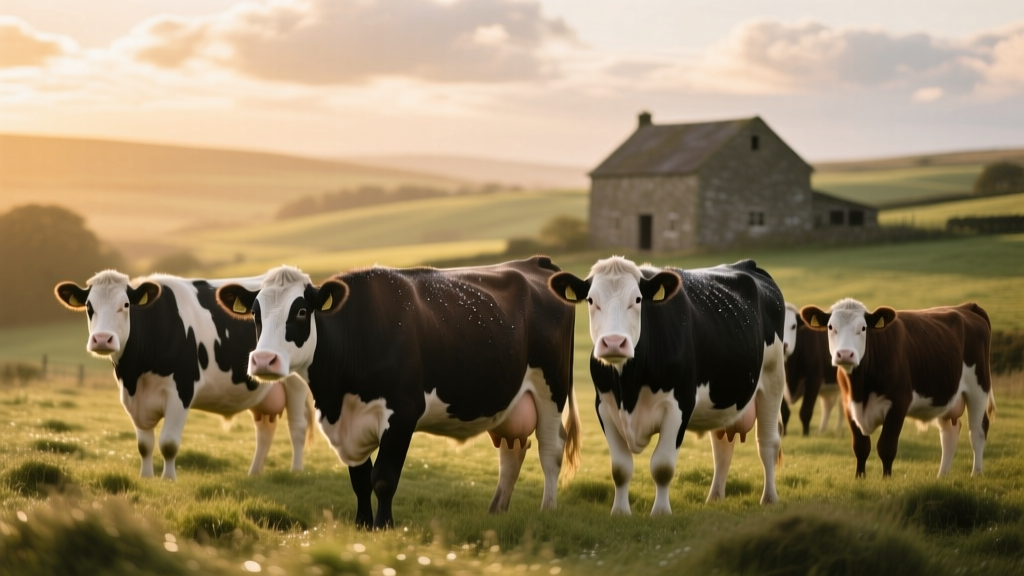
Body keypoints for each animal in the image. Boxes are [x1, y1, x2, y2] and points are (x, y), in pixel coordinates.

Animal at [54, 270, 314, 480]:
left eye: (126, 305)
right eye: (89, 307)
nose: (102, 339)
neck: (135, 375)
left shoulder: (181, 390)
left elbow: (168, 443)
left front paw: (168, 479)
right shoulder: (133, 399)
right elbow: (144, 445)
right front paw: (146, 477)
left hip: (296, 383)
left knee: (297, 427)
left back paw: (296, 471)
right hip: (264, 392)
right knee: (265, 430)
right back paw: (254, 473)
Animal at [215, 256, 581, 530]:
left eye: (302, 311)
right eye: (255, 313)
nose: (264, 360)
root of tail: (535, 262)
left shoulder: (403, 413)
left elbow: (383, 478)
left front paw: (383, 526)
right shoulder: (345, 425)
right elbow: (360, 480)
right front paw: (362, 525)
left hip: (551, 388)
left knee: (550, 449)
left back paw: (548, 509)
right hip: (509, 399)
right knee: (512, 450)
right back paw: (497, 510)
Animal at [549, 257, 786, 515]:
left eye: (638, 299)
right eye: (591, 300)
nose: (613, 342)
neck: (628, 388)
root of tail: (747, 264)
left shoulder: (679, 404)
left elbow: (662, 466)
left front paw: (660, 513)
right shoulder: (604, 406)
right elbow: (620, 468)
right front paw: (620, 512)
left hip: (773, 378)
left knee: (768, 442)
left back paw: (770, 498)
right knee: (722, 447)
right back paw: (714, 497)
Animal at [780, 303, 841, 436]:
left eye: (793, 326)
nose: (784, 345)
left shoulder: (814, 379)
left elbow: (805, 411)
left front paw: (805, 435)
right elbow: (784, 412)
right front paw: (784, 434)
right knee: (828, 404)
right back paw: (822, 430)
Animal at [799, 298, 995, 478]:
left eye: (863, 328)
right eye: (831, 327)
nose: (845, 354)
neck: (861, 389)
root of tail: (965, 307)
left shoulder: (898, 403)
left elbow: (886, 447)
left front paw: (886, 480)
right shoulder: (849, 405)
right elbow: (861, 447)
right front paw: (859, 478)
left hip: (978, 389)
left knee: (978, 430)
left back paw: (976, 474)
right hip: (946, 395)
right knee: (949, 434)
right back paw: (941, 476)